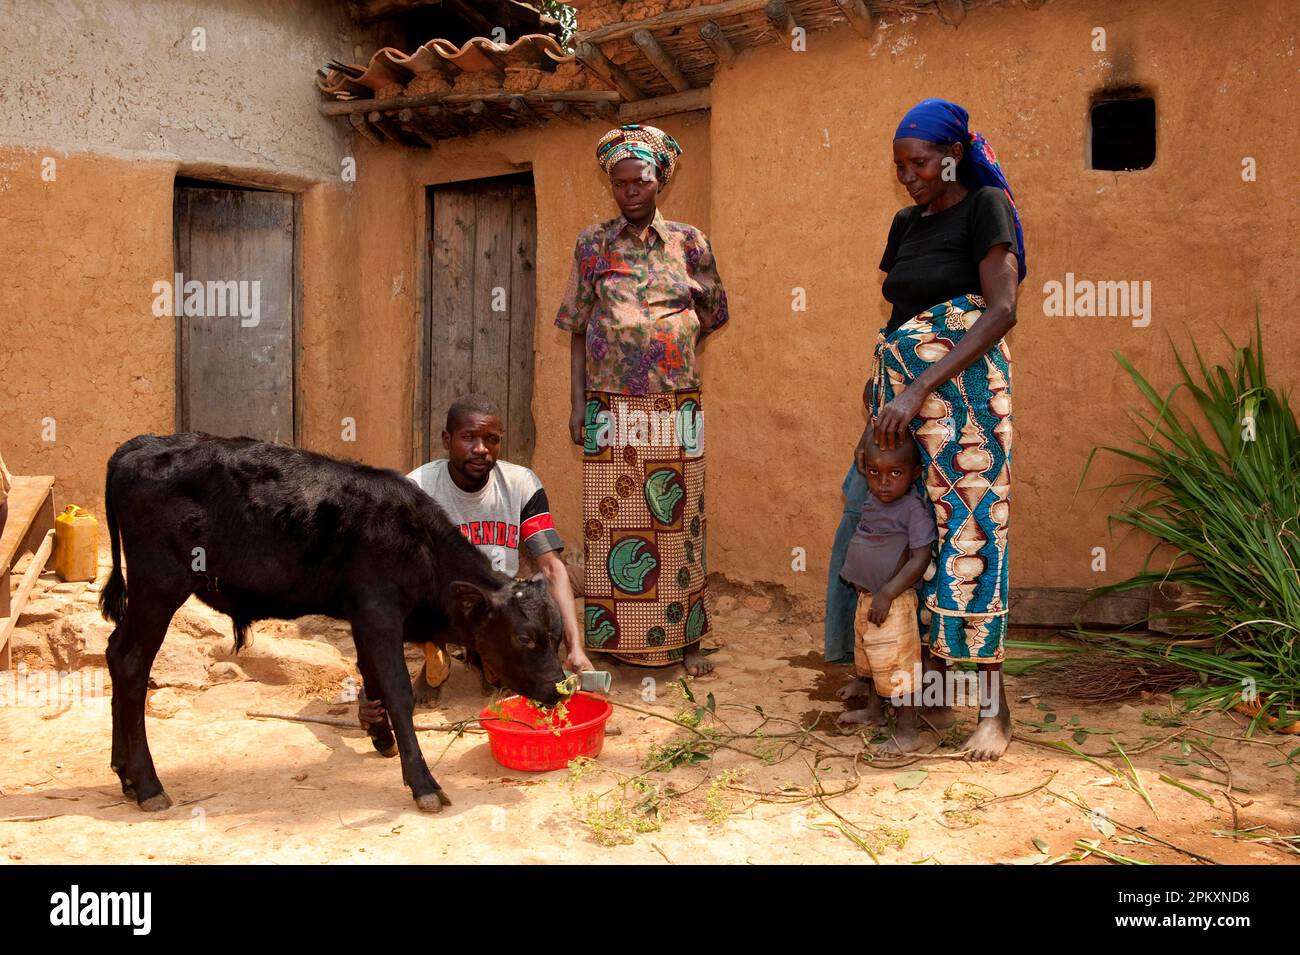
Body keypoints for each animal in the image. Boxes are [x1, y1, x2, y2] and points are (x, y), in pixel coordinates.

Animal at [98, 432, 569, 813]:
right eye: (525, 638)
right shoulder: (380, 610)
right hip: (160, 583)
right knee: (130, 662)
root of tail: (141, 444)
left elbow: (372, 677)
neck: (420, 541)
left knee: (116, 655)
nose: (560, 689)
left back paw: (124, 774)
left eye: (558, 635)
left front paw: (381, 736)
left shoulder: (363, 615)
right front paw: (423, 783)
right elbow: (397, 691)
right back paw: (147, 784)